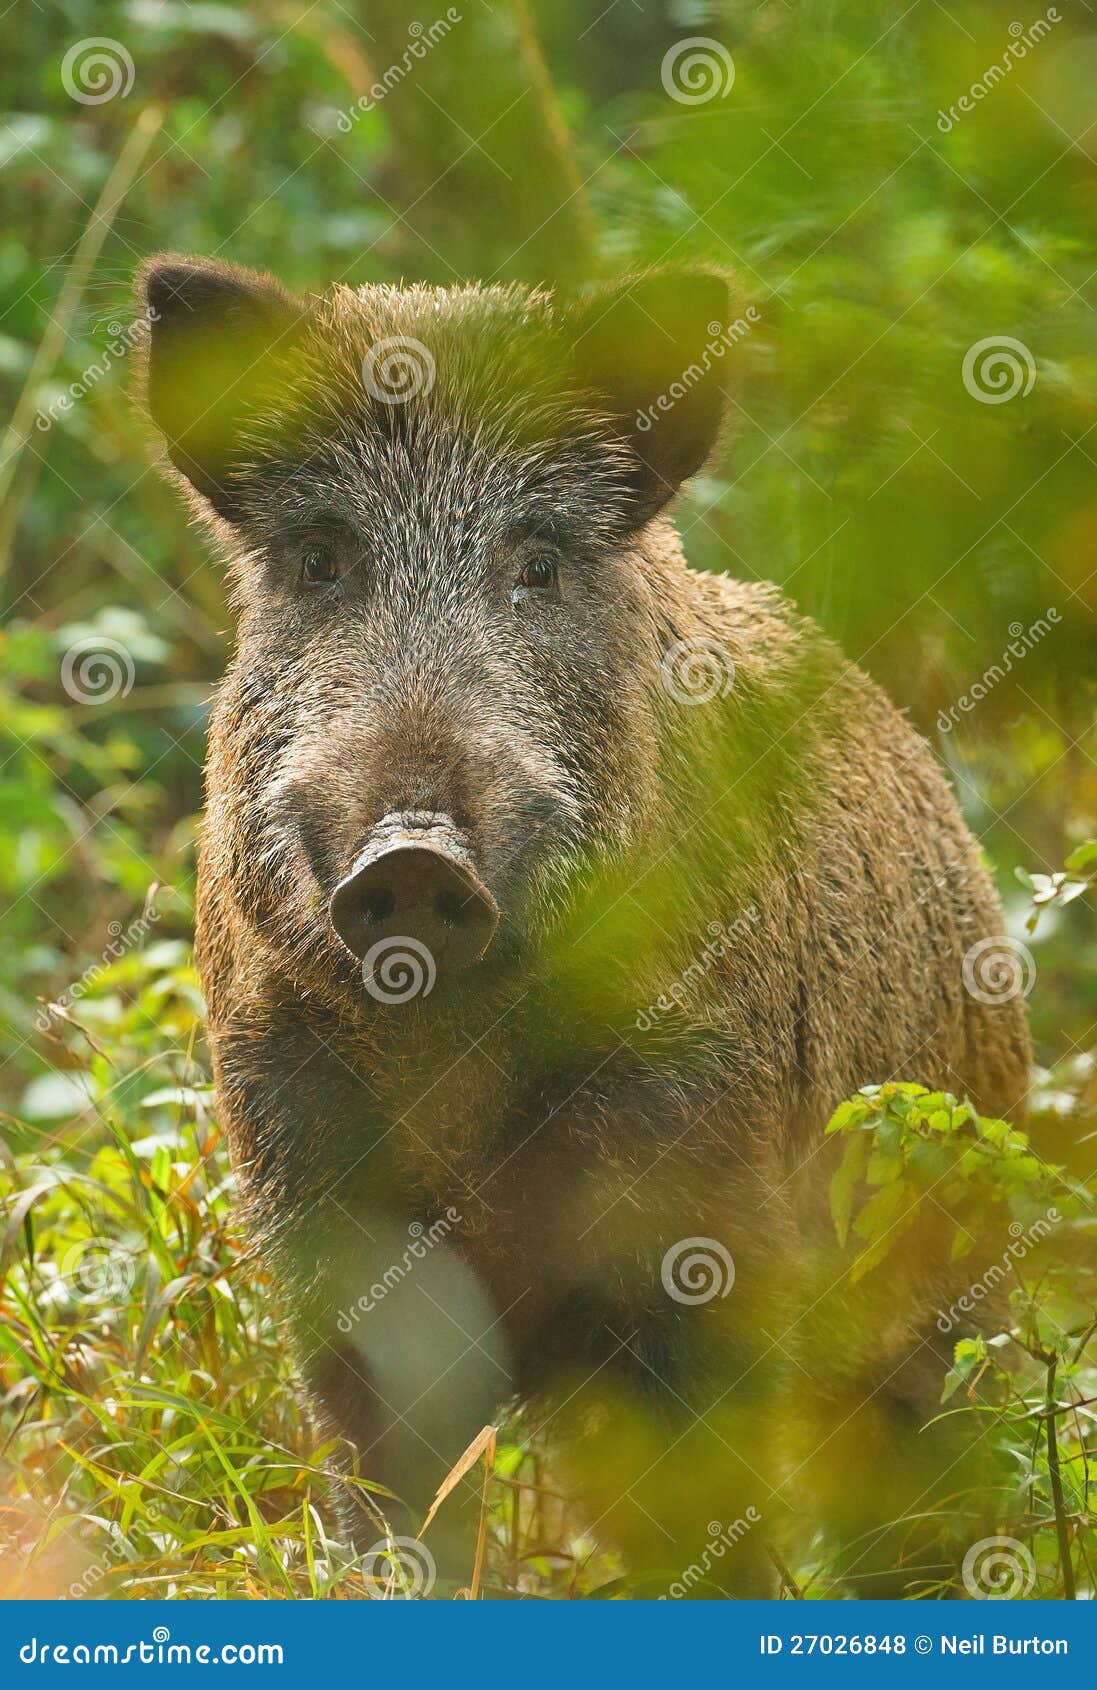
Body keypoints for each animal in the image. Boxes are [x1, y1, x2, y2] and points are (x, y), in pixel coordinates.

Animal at [136, 255, 1031, 1597]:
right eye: (319, 560)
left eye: (539, 565)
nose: (411, 852)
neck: (452, 1059)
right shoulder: (305, 1179)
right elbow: (388, 1485)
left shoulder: (702, 1198)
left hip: (949, 1252)